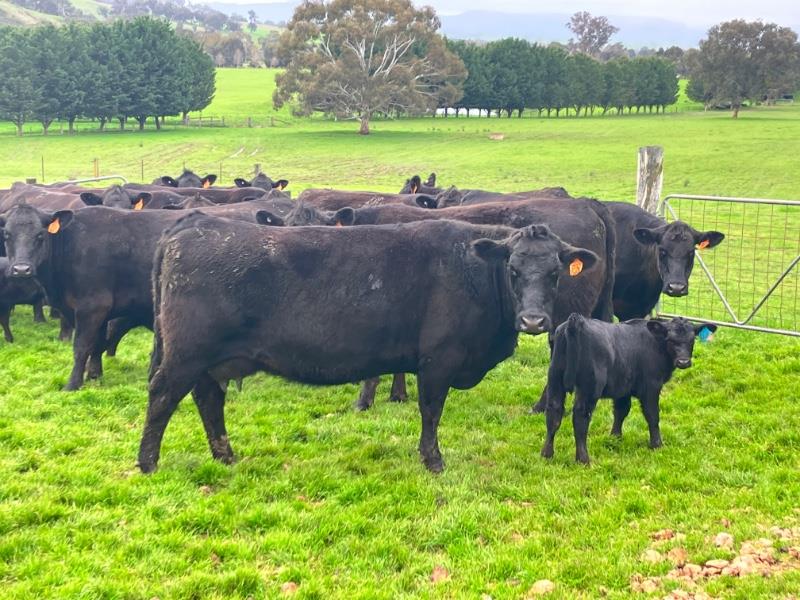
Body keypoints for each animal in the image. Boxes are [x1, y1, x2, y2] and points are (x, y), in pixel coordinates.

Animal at [137, 215, 599, 474]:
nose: (533, 321)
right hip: (185, 354)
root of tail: (192, 225)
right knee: (162, 396)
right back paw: (148, 463)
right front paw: (433, 460)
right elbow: (431, 410)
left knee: (208, 400)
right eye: (513, 269)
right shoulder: (439, 359)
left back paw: (225, 456)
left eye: (556, 272)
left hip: (210, 361)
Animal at [541, 314, 717, 464]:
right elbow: (652, 415)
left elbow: (621, 411)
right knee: (580, 418)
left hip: (555, 379)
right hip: (589, 388)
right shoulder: (651, 386)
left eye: (692, 340)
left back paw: (547, 454)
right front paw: (656, 444)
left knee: (554, 413)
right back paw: (583, 459)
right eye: (671, 340)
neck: (656, 343)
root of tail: (576, 321)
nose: (683, 362)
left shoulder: (622, 389)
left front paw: (615, 437)